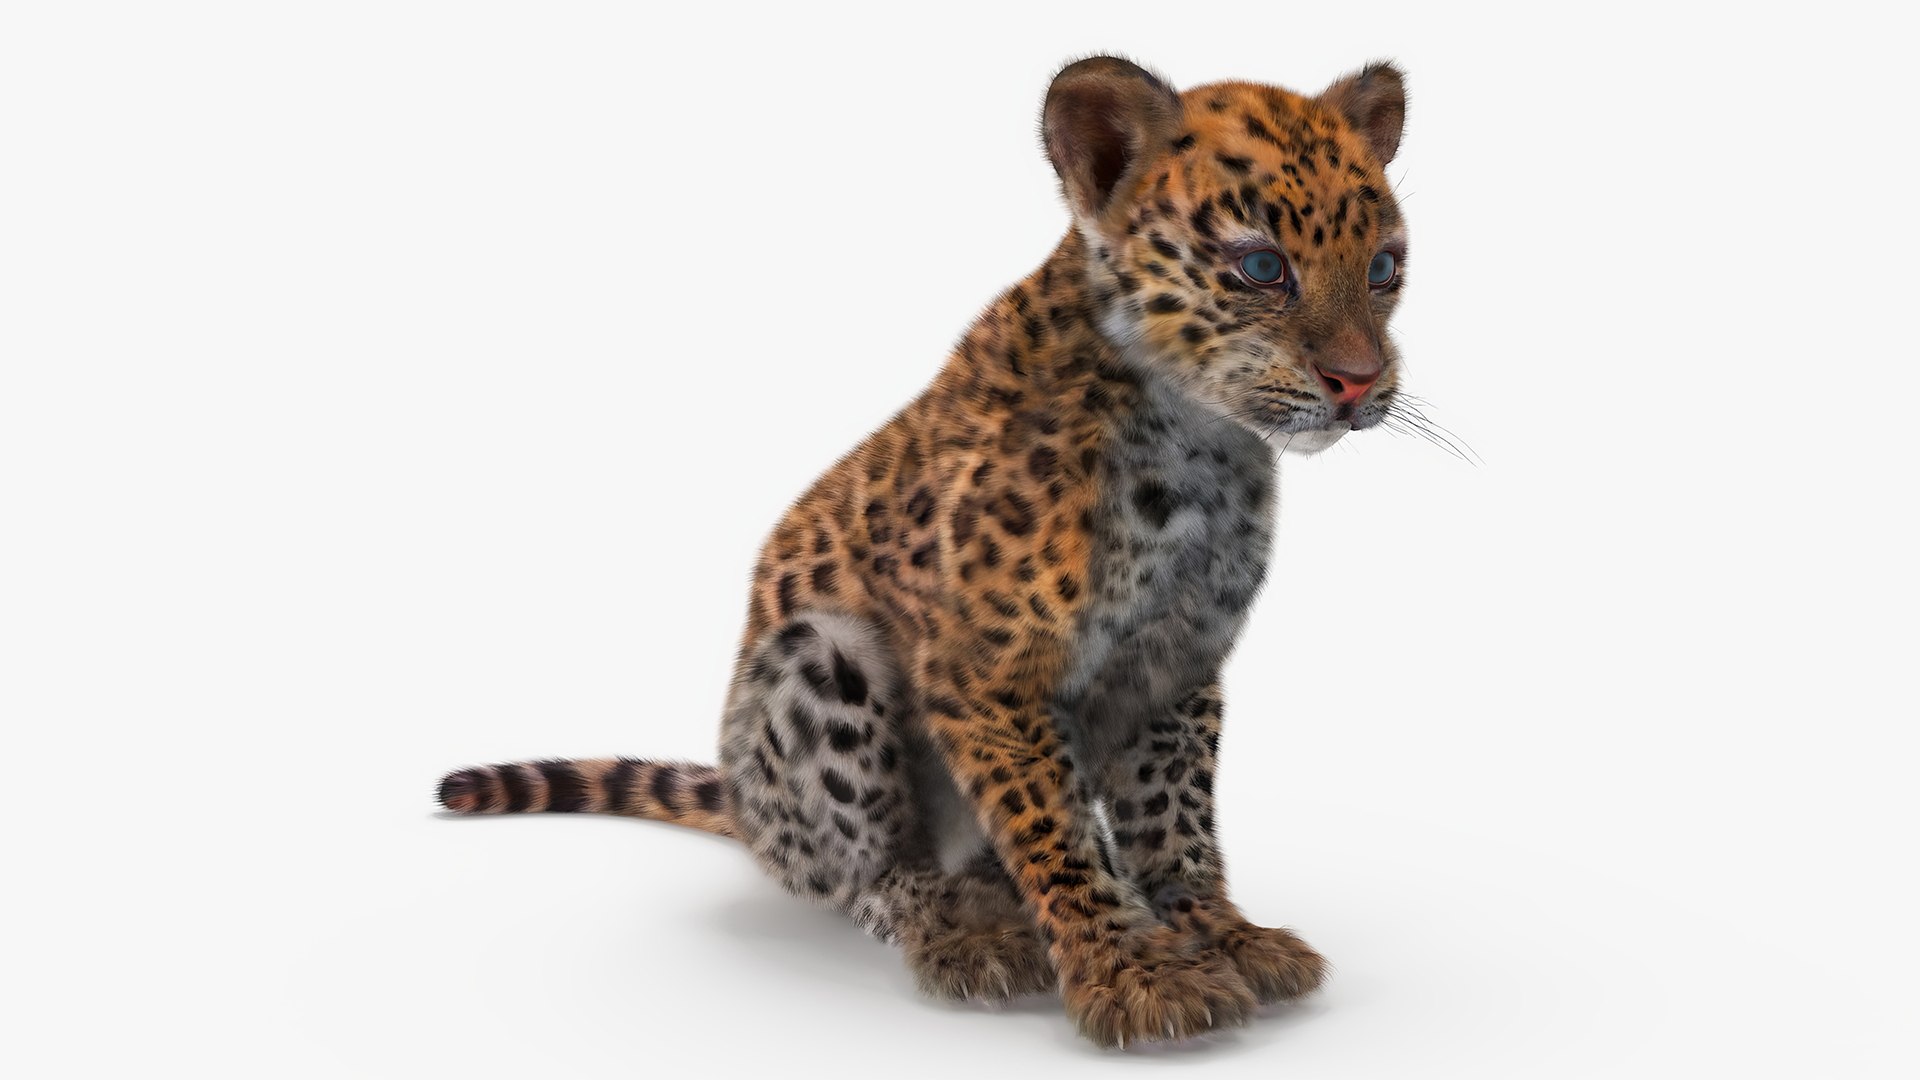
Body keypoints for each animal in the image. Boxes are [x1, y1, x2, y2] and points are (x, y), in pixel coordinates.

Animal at [437, 55, 1413, 1049]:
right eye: (1262, 267)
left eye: (1384, 267)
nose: (1359, 382)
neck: (1201, 447)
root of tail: (744, 808)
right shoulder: (986, 675)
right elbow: (1057, 831)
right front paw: (1129, 972)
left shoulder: (1177, 665)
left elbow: (1173, 818)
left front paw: (1220, 934)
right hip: (818, 660)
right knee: (859, 874)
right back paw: (958, 924)